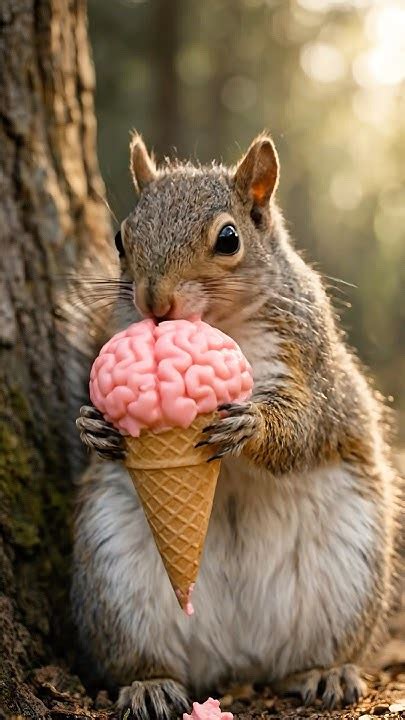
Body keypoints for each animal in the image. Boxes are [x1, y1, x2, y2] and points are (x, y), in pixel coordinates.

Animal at [73, 132, 399, 720]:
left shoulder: (308, 360)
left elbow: (306, 425)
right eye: (120, 238)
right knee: (141, 655)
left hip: (349, 572)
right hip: (115, 580)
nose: (154, 303)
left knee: (315, 651)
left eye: (228, 239)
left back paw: (325, 672)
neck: (219, 326)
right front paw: (96, 427)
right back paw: (149, 683)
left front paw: (252, 427)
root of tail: (238, 659)